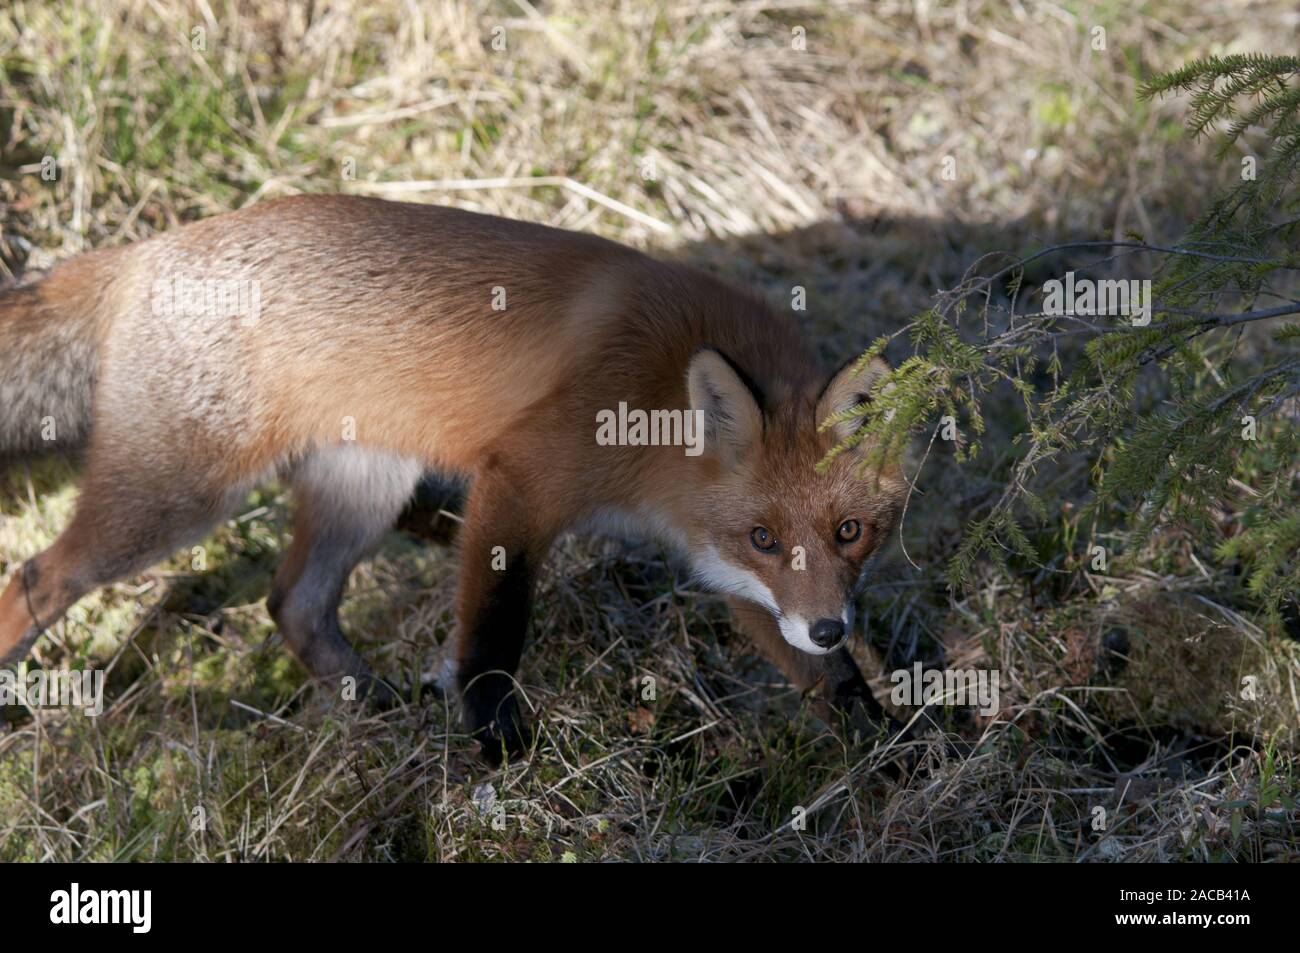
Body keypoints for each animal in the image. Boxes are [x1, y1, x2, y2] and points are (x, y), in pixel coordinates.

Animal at [0, 195, 905, 761]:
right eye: (764, 535)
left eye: (850, 532)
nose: (832, 625)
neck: (654, 407)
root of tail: (142, 253)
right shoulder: (518, 480)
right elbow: (493, 630)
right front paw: (497, 740)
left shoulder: (739, 577)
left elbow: (822, 679)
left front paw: (884, 751)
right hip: (171, 501)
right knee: (38, 576)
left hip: (367, 489)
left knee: (293, 600)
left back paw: (369, 700)